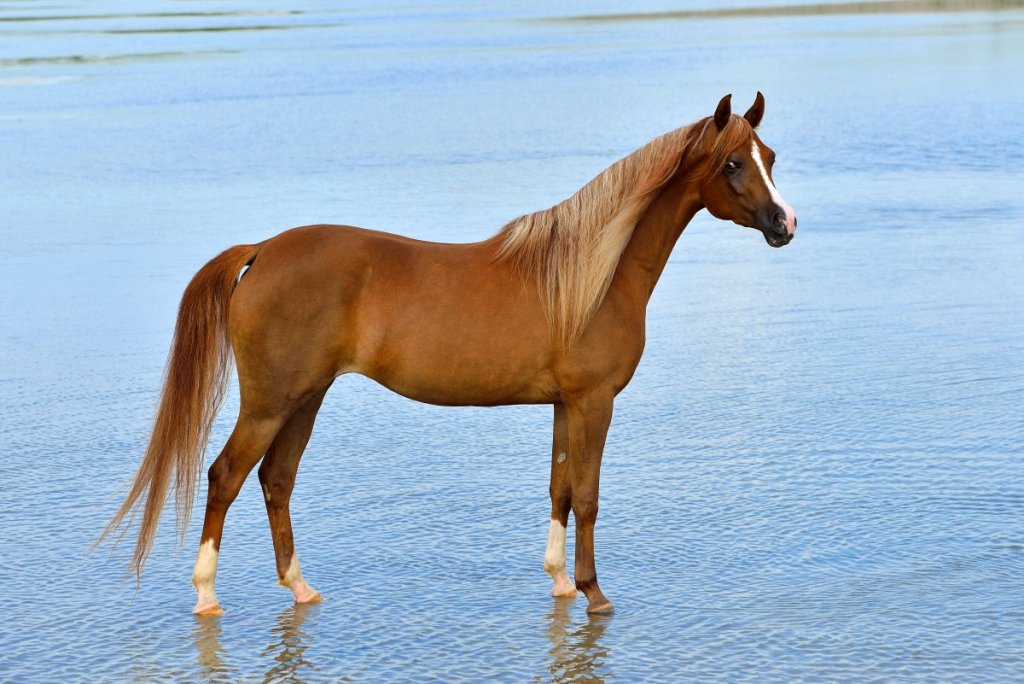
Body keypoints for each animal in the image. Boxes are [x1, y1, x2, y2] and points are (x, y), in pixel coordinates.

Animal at [100, 92, 797, 616]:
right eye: (732, 164)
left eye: (768, 157)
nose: (784, 224)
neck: (591, 276)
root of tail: (264, 249)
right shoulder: (594, 401)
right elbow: (590, 496)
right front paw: (595, 594)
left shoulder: (564, 404)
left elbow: (560, 489)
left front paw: (560, 582)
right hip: (272, 400)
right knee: (226, 476)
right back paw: (206, 596)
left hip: (306, 397)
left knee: (276, 479)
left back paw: (301, 589)